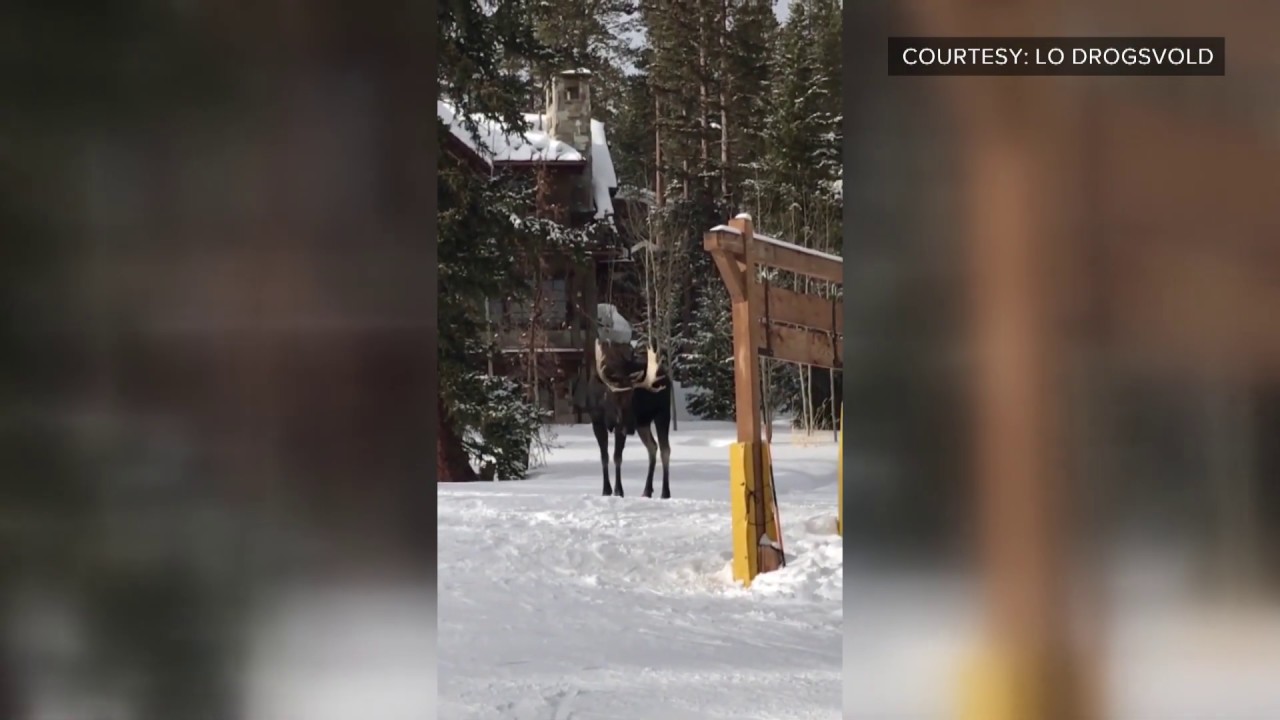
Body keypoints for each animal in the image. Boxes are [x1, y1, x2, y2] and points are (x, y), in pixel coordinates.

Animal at [586, 340, 673, 499]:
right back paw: (647, 490)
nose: (630, 427)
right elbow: (604, 456)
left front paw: (618, 490)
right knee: (652, 446)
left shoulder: (620, 426)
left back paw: (665, 492)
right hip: (643, 423)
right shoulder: (597, 422)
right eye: (616, 397)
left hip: (662, 413)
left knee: (665, 449)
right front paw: (606, 490)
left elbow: (617, 457)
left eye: (632, 397)